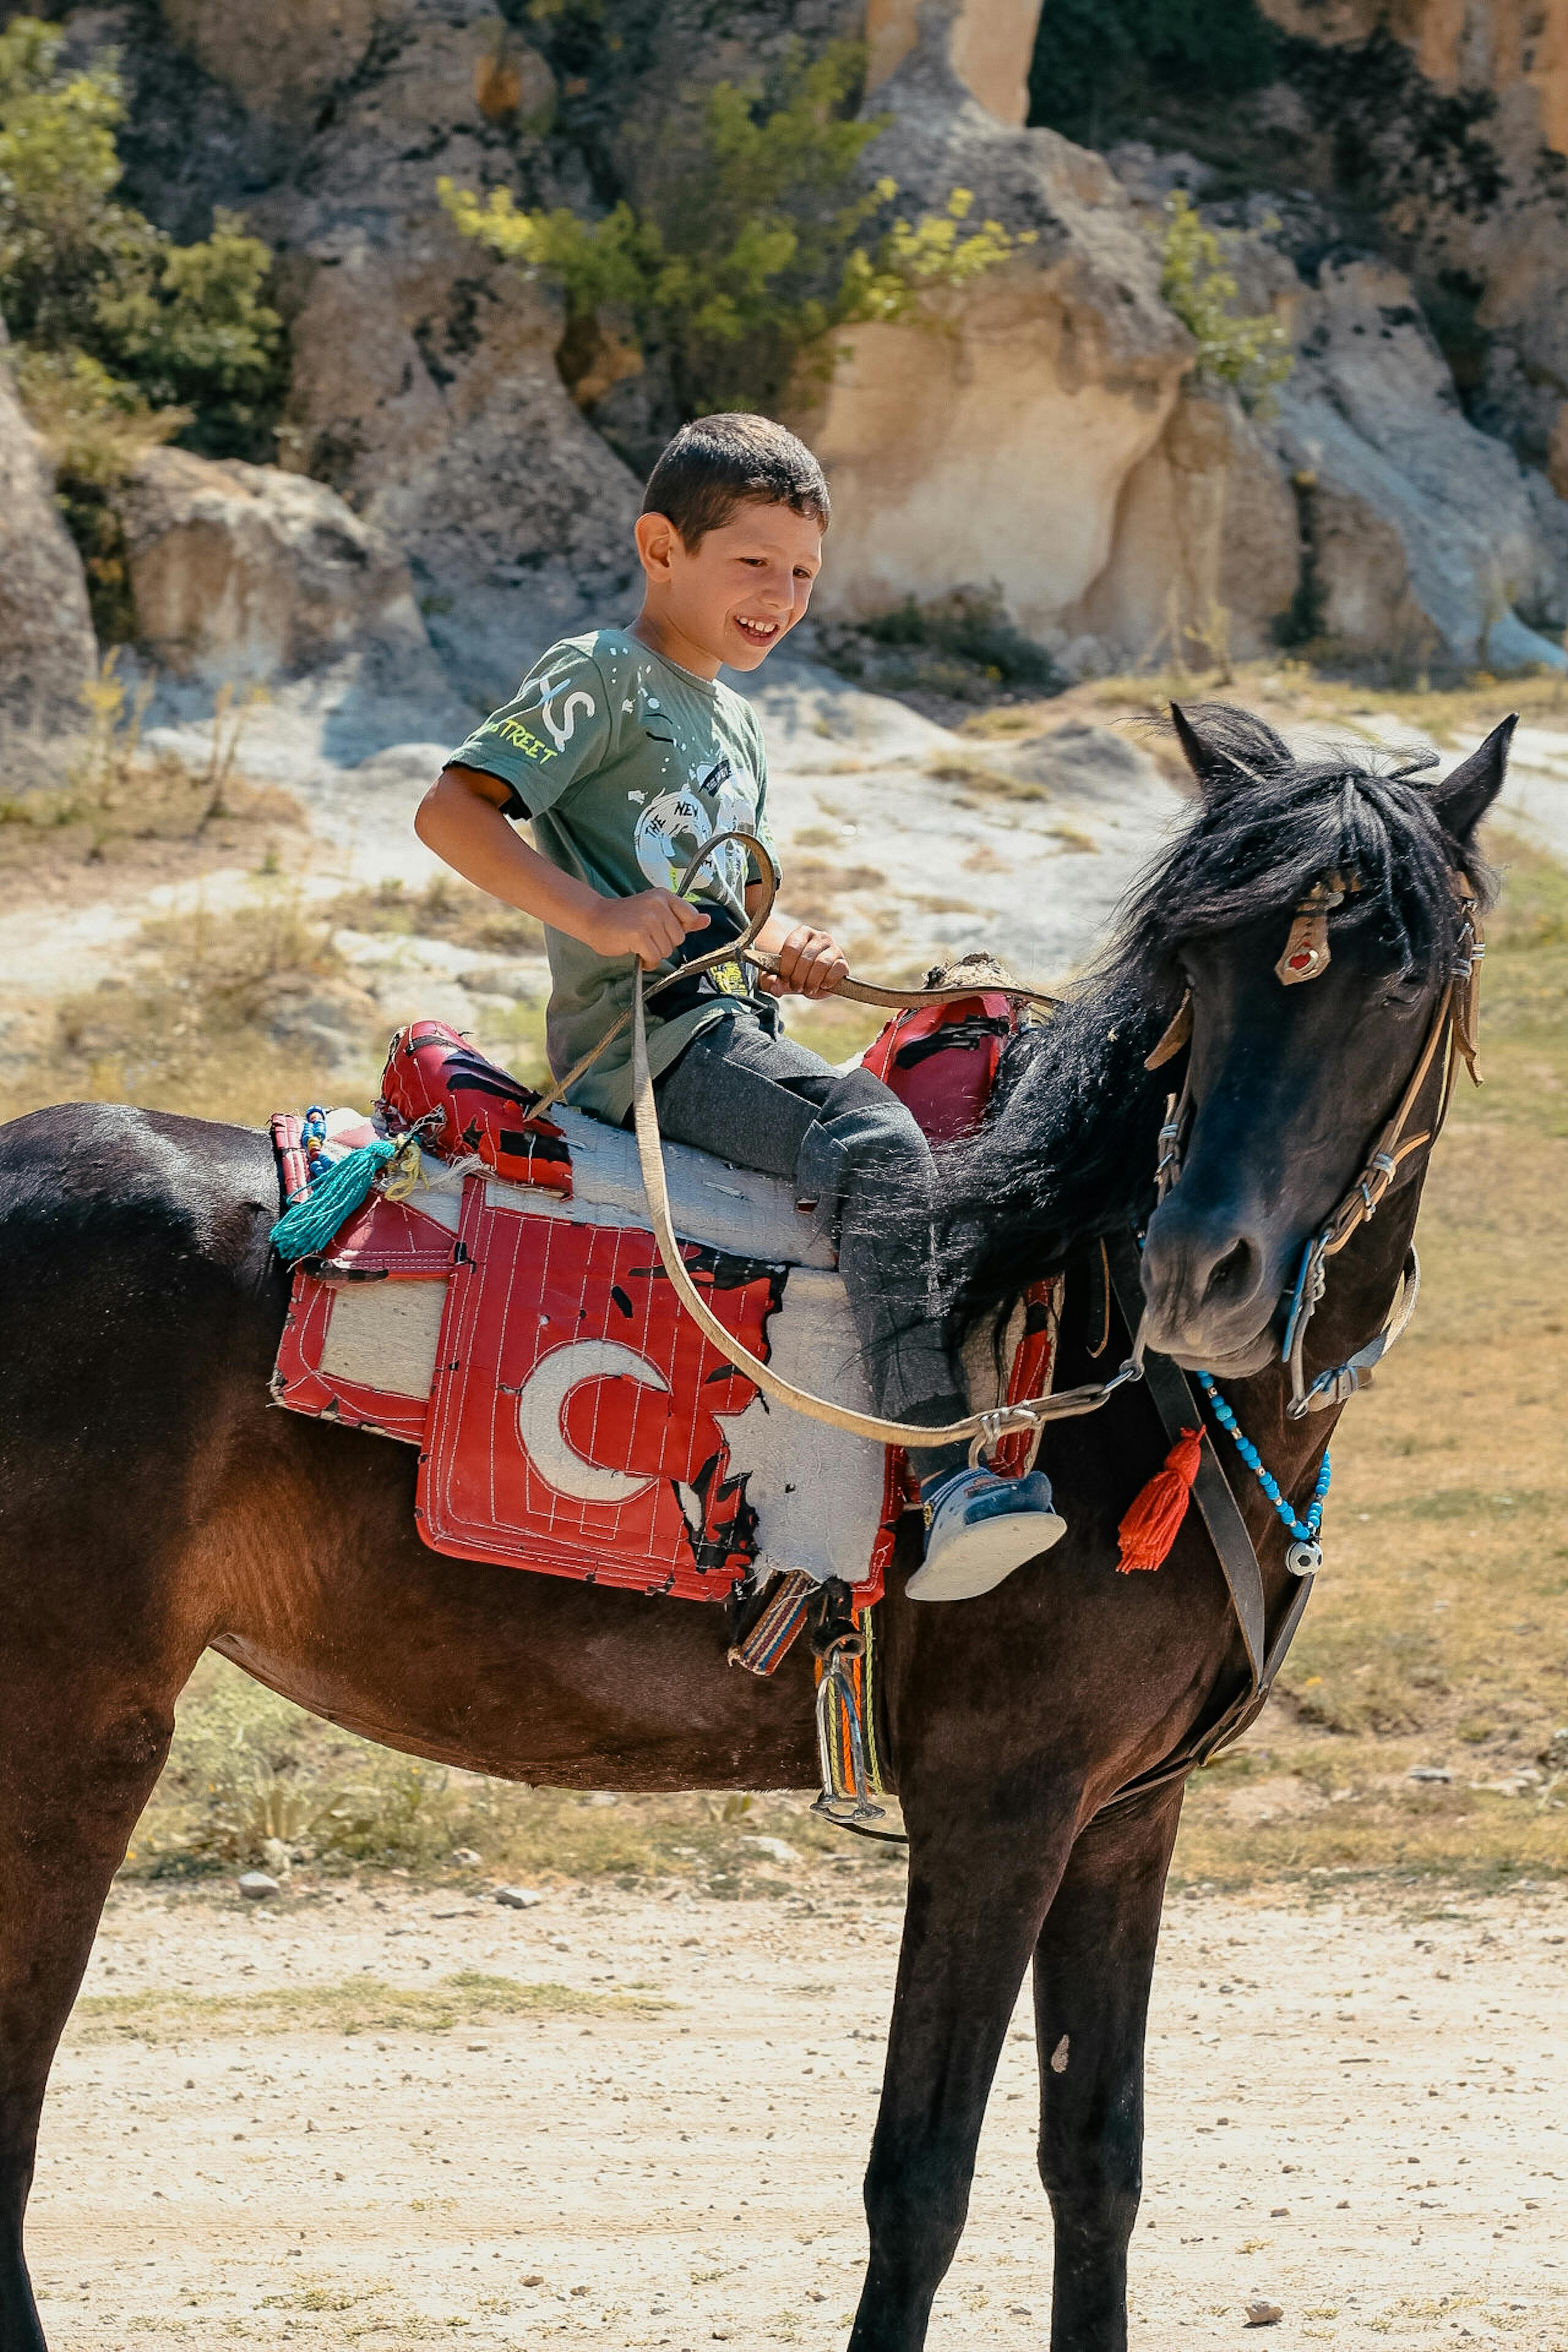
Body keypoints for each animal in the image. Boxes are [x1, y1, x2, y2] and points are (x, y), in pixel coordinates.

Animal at [0, 702, 1510, 2352]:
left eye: (1402, 977)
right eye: (1198, 968)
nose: (1202, 1273)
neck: (1111, 1365)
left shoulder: (1122, 1819)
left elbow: (1094, 2162)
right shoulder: (996, 1806)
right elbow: (921, 2180)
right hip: (76, 1732)